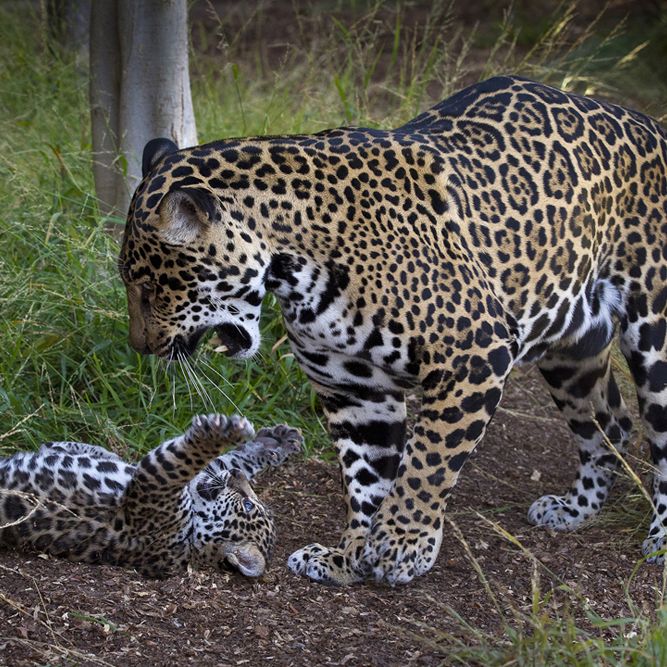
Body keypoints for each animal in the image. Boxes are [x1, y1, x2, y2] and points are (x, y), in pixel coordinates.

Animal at [0, 414, 302, 578]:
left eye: (248, 505)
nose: (238, 476)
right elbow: (223, 461)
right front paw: (276, 441)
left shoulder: (155, 481)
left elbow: (187, 457)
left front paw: (219, 433)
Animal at [118, 75, 667, 586]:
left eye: (150, 287)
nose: (141, 347)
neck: (293, 263)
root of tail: (648, 123)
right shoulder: (354, 390)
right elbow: (367, 477)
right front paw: (351, 555)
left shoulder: (475, 354)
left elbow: (427, 463)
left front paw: (403, 544)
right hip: (570, 345)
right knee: (610, 423)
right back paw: (574, 509)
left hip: (655, 337)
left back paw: (660, 539)